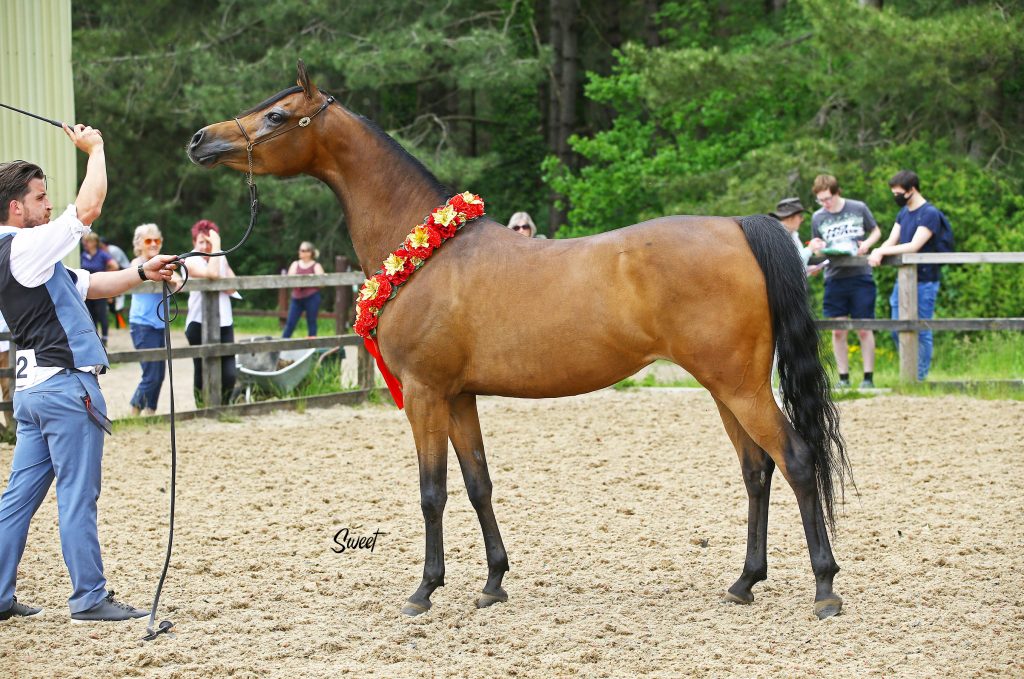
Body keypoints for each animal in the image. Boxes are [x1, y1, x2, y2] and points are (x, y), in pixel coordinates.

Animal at [187, 61, 853, 620]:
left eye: (277, 116)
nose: (200, 140)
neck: (429, 253)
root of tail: (738, 227)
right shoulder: (459, 397)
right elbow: (478, 483)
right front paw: (493, 583)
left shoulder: (425, 394)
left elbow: (432, 492)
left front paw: (425, 590)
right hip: (724, 387)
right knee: (757, 471)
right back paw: (745, 582)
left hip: (740, 386)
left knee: (796, 460)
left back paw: (824, 588)